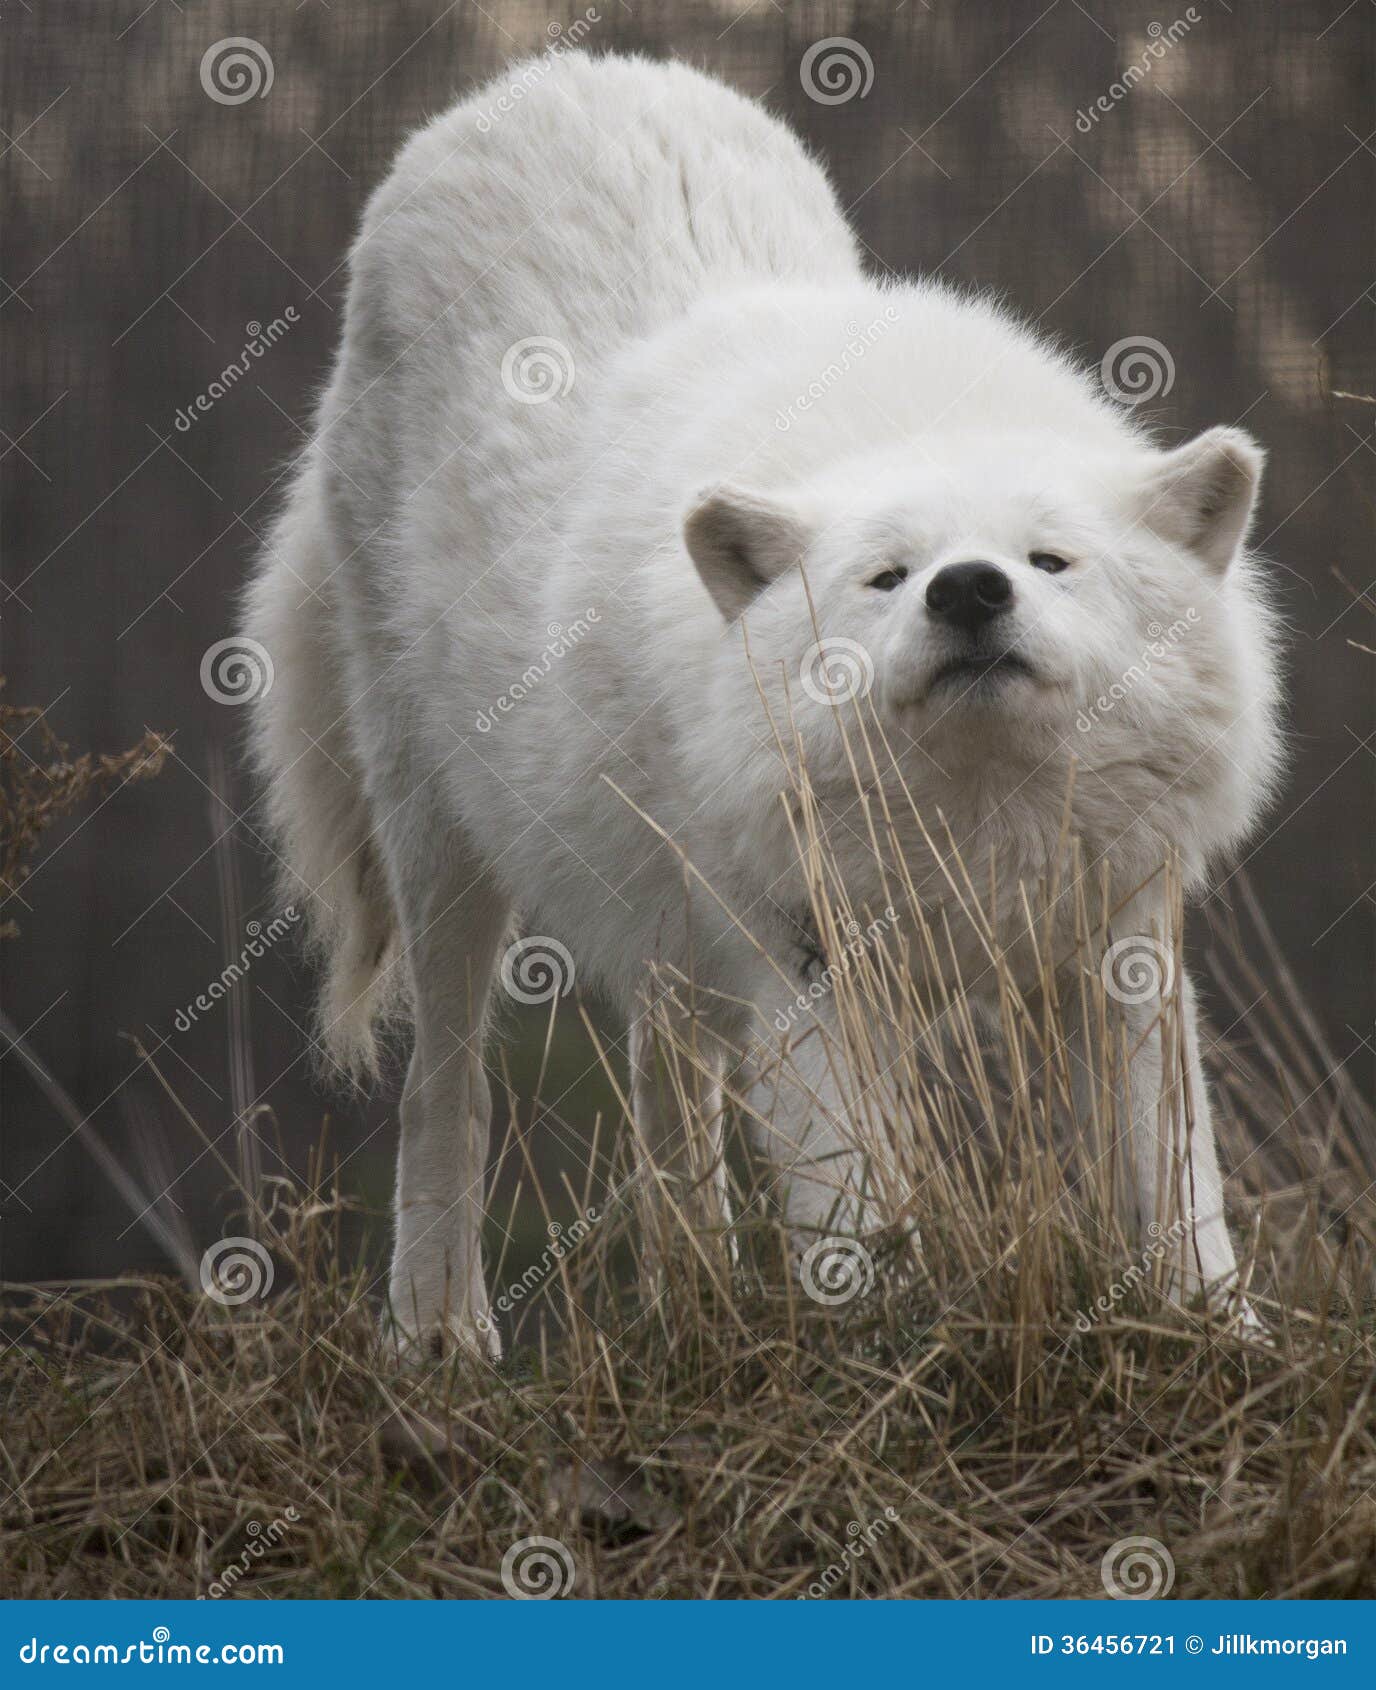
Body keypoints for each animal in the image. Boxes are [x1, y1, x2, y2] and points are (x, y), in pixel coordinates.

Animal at [242, 53, 1282, 1357]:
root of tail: (553, 71)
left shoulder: (1119, 944)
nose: (967, 589)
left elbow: (1174, 1176)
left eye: (1048, 562)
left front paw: (1216, 1338)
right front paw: (889, 1352)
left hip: (661, 919)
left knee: (663, 1081)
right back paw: (441, 1336)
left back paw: (696, 1317)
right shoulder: (805, 966)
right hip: (439, 847)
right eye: (885, 577)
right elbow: (849, 1204)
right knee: (447, 1084)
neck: (974, 823)